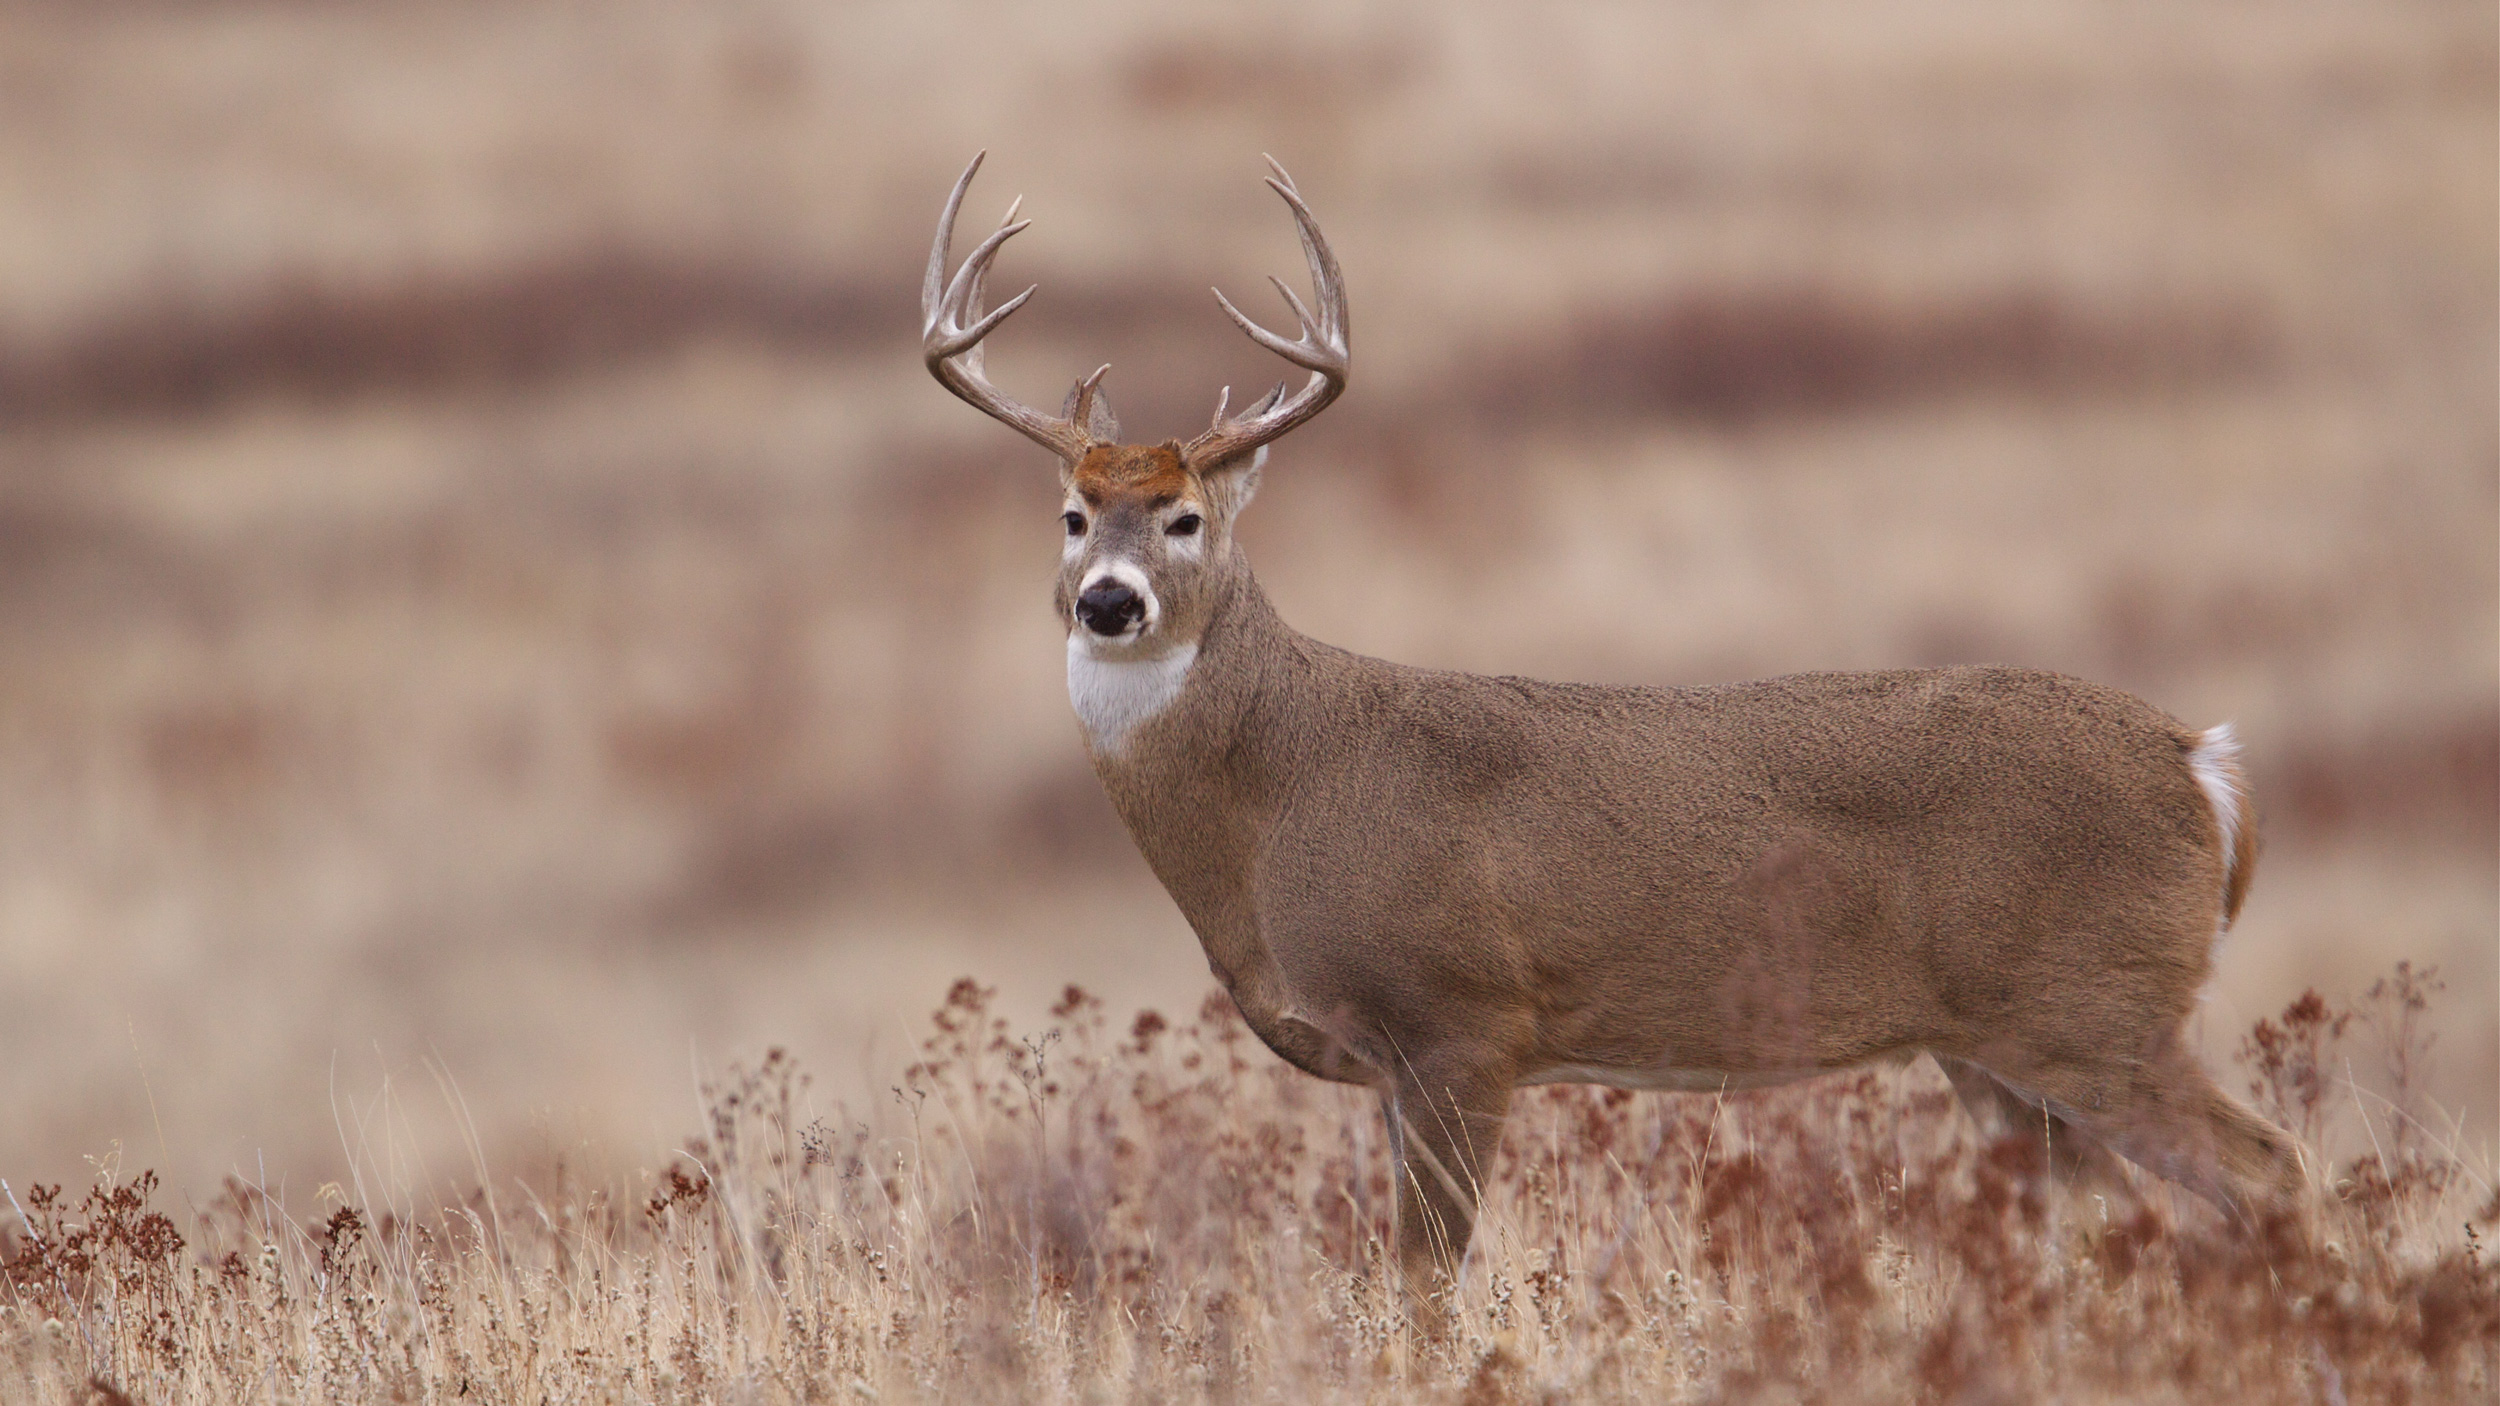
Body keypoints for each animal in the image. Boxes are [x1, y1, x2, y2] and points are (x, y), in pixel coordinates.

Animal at [920, 152, 2308, 1296]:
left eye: (1186, 518)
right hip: (1997, 1046)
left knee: (2272, 1167)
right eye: (1071, 515)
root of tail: (2204, 761)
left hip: (2096, 1004)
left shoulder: (1461, 1017)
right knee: (2101, 1212)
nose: (1109, 599)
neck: (1278, 802)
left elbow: (1421, 1286)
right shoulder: (1391, 1064)